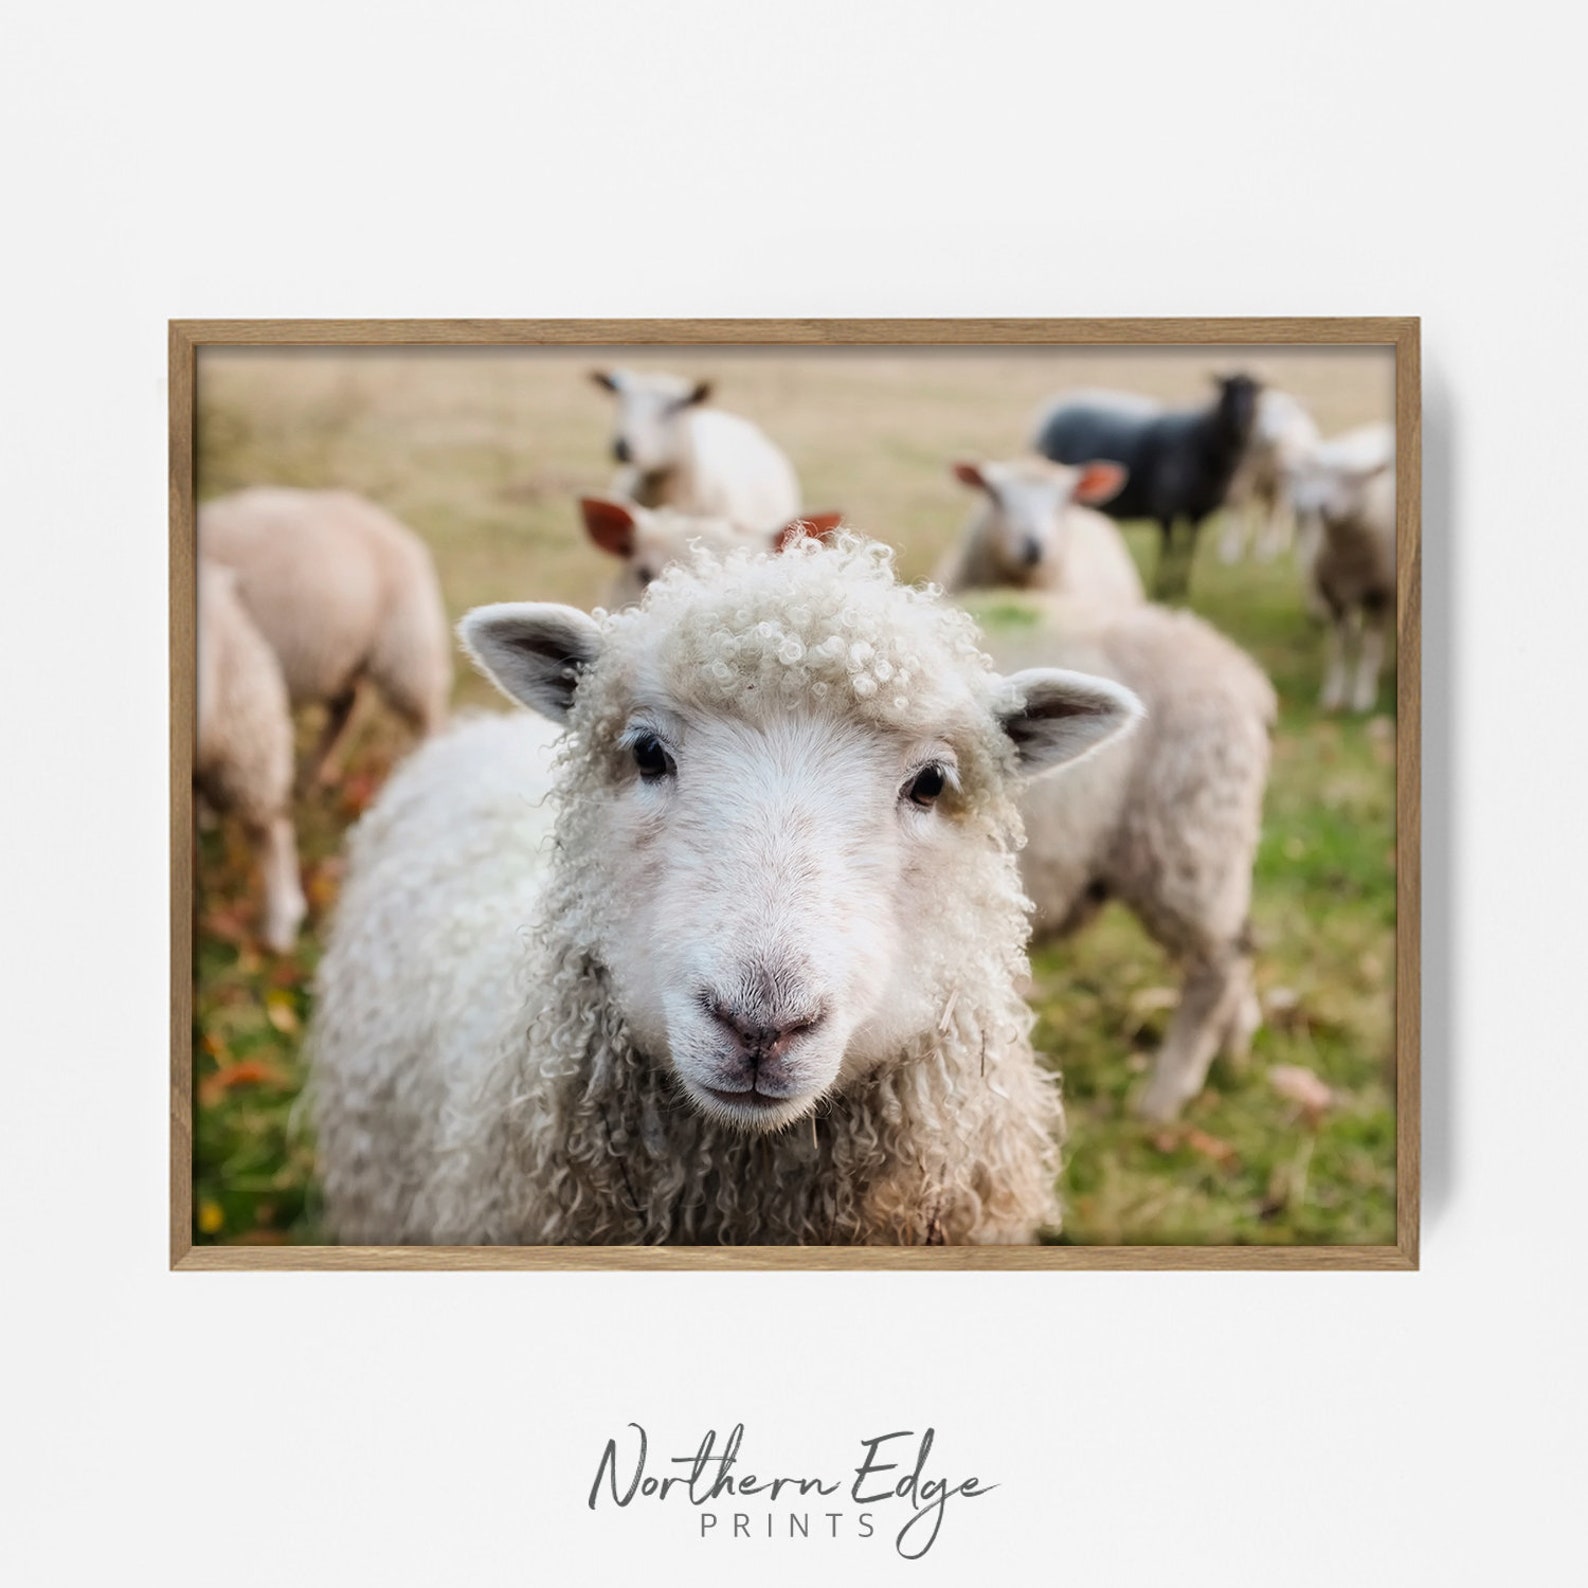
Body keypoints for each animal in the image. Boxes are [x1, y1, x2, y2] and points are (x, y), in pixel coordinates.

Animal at [1033, 375, 1261, 599]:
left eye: (1255, 392)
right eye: (1227, 390)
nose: (1240, 421)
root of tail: (1054, 407)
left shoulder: (1198, 512)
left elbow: (1188, 548)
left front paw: (1181, 588)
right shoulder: (1166, 507)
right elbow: (1168, 549)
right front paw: (1163, 589)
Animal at [1218, 388, 1322, 564]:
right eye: (1263, 413)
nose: (1270, 434)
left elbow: (1269, 512)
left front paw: (1264, 551)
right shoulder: (1246, 475)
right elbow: (1241, 505)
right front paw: (1231, 550)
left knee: (1281, 511)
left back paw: (1274, 546)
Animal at [1289, 423, 1396, 712]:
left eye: (1353, 480)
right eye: (1319, 476)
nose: (1321, 507)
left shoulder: (1380, 597)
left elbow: (1370, 646)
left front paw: (1363, 696)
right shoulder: (1333, 596)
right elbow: (1339, 646)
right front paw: (1334, 694)